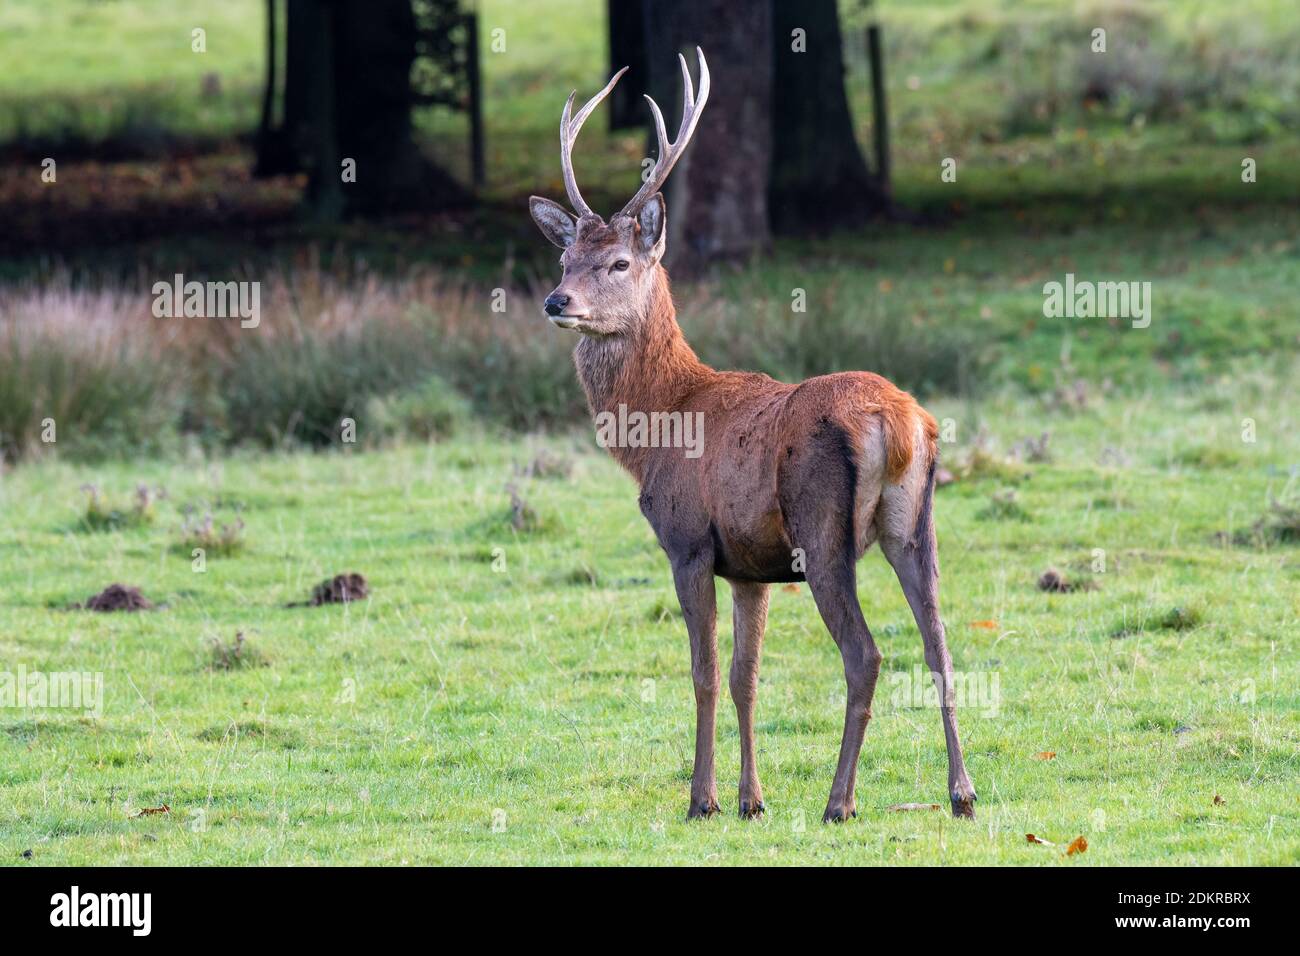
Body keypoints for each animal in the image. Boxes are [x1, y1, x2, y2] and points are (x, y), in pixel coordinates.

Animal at [527, 48, 977, 823]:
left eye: (618, 262)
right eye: (564, 260)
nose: (559, 301)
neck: (657, 427)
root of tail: (897, 422)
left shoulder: (688, 540)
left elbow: (704, 672)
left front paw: (703, 799)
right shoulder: (749, 564)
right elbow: (747, 676)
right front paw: (751, 799)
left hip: (823, 528)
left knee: (865, 655)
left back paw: (839, 802)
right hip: (915, 524)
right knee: (939, 646)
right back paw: (962, 792)